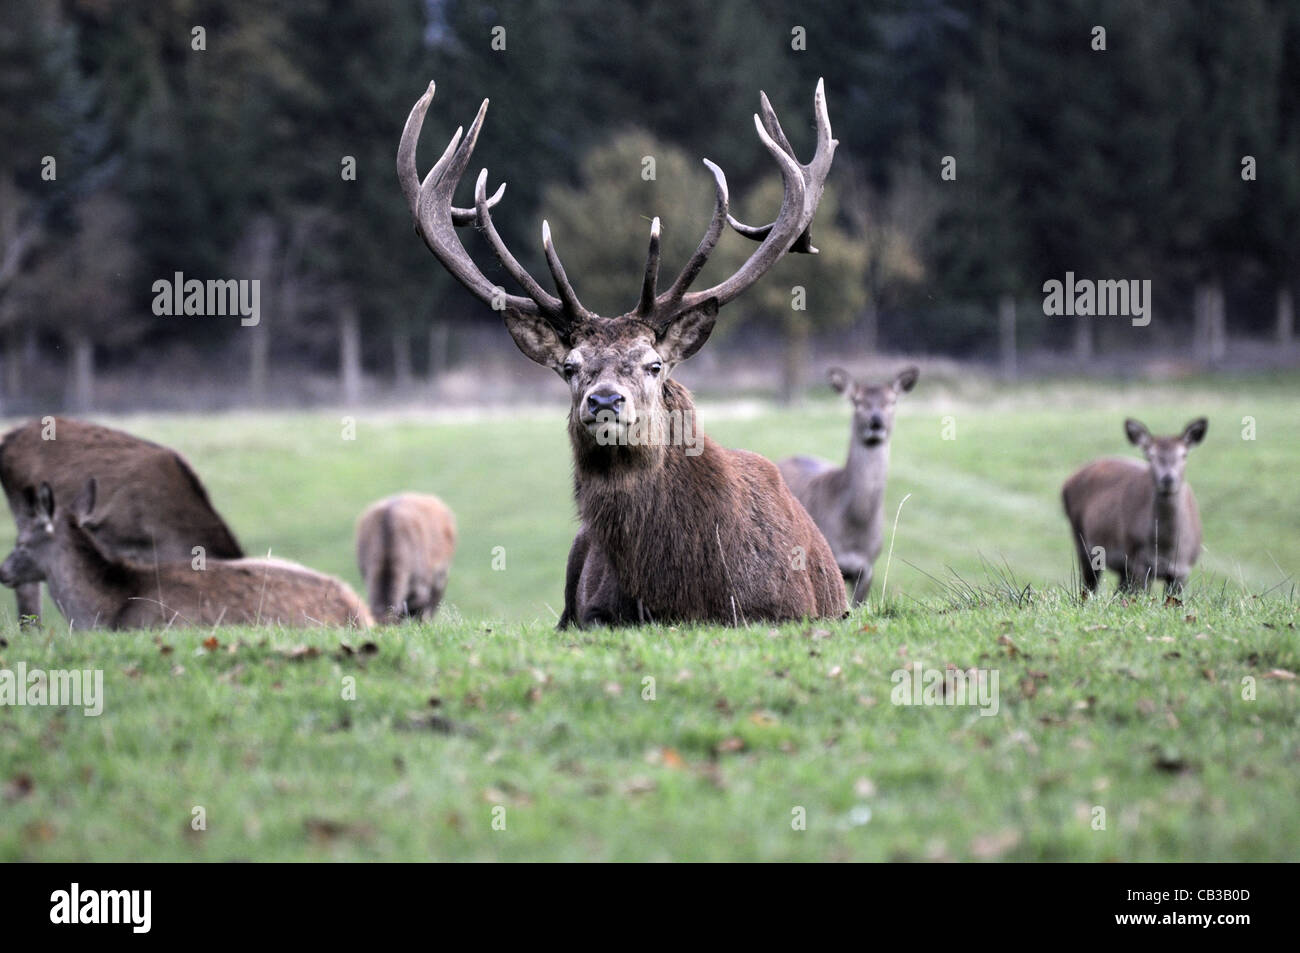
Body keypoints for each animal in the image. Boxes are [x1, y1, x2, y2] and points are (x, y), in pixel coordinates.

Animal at [398, 79, 847, 627]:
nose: (606, 401)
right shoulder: (593, 614)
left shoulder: (790, 608)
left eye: (654, 365)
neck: (682, 594)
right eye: (570, 367)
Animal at [1062, 417, 1207, 596]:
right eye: (1150, 455)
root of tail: (1066, 483)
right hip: (1082, 539)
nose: (1168, 478)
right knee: (1089, 584)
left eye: (1183, 454)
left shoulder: (1182, 570)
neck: (1167, 548)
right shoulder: (1138, 561)